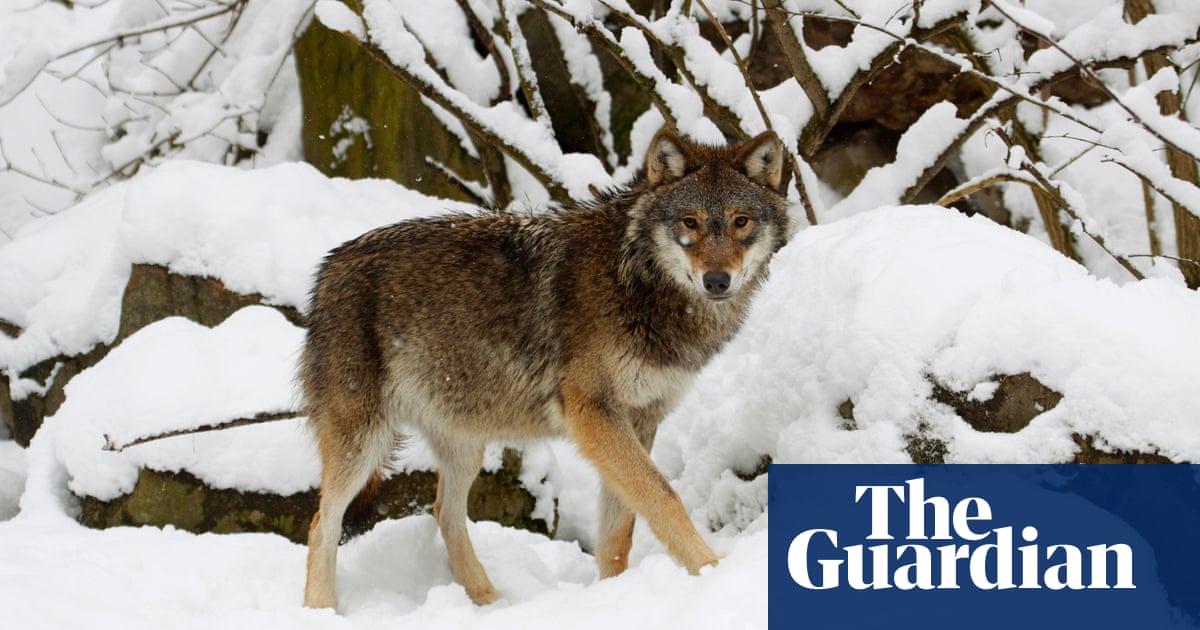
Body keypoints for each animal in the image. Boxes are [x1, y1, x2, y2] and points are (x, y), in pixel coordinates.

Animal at [301, 127, 790, 609]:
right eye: (690, 222)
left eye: (741, 221)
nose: (717, 280)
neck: (635, 280)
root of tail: (328, 267)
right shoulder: (593, 414)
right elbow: (663, 498)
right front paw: (711, 571)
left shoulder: (640, 419)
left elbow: (619, 533)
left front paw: (614, 597)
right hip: (363, 441)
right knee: (323, 522)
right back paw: (322, 610)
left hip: (464, 441)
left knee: (445, 514)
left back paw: (489, 604)